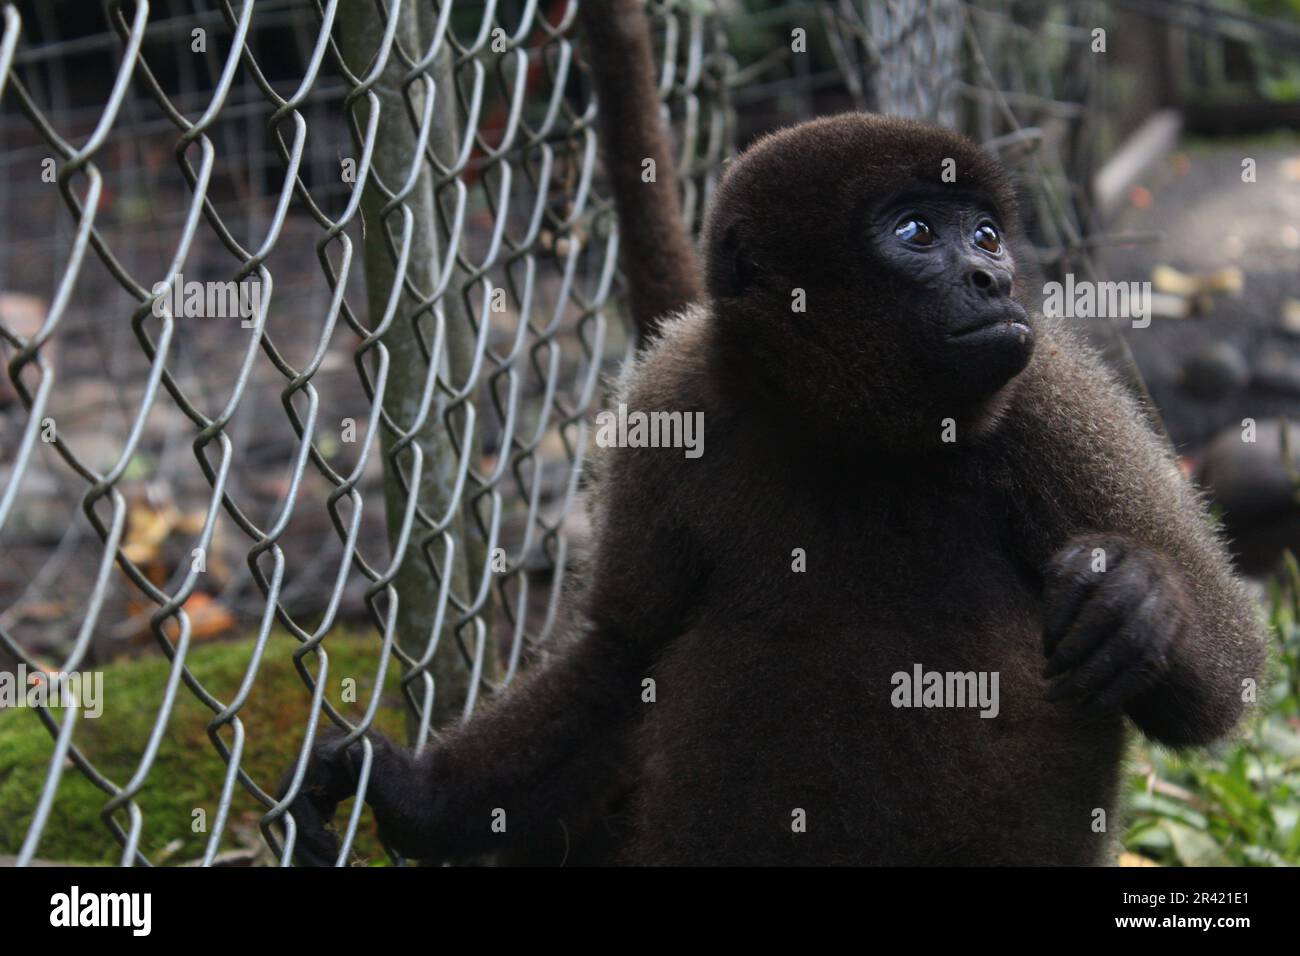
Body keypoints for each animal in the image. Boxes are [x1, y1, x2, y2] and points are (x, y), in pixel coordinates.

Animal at [275, 1, 1267, 866]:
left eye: (986, 234)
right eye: (918, 230)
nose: (993, 278)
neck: (850, 432)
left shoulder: (1050, 391)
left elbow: (1227, 676)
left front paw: (1137, 596)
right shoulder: (670, 400)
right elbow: (622, 656)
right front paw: (410, 797)